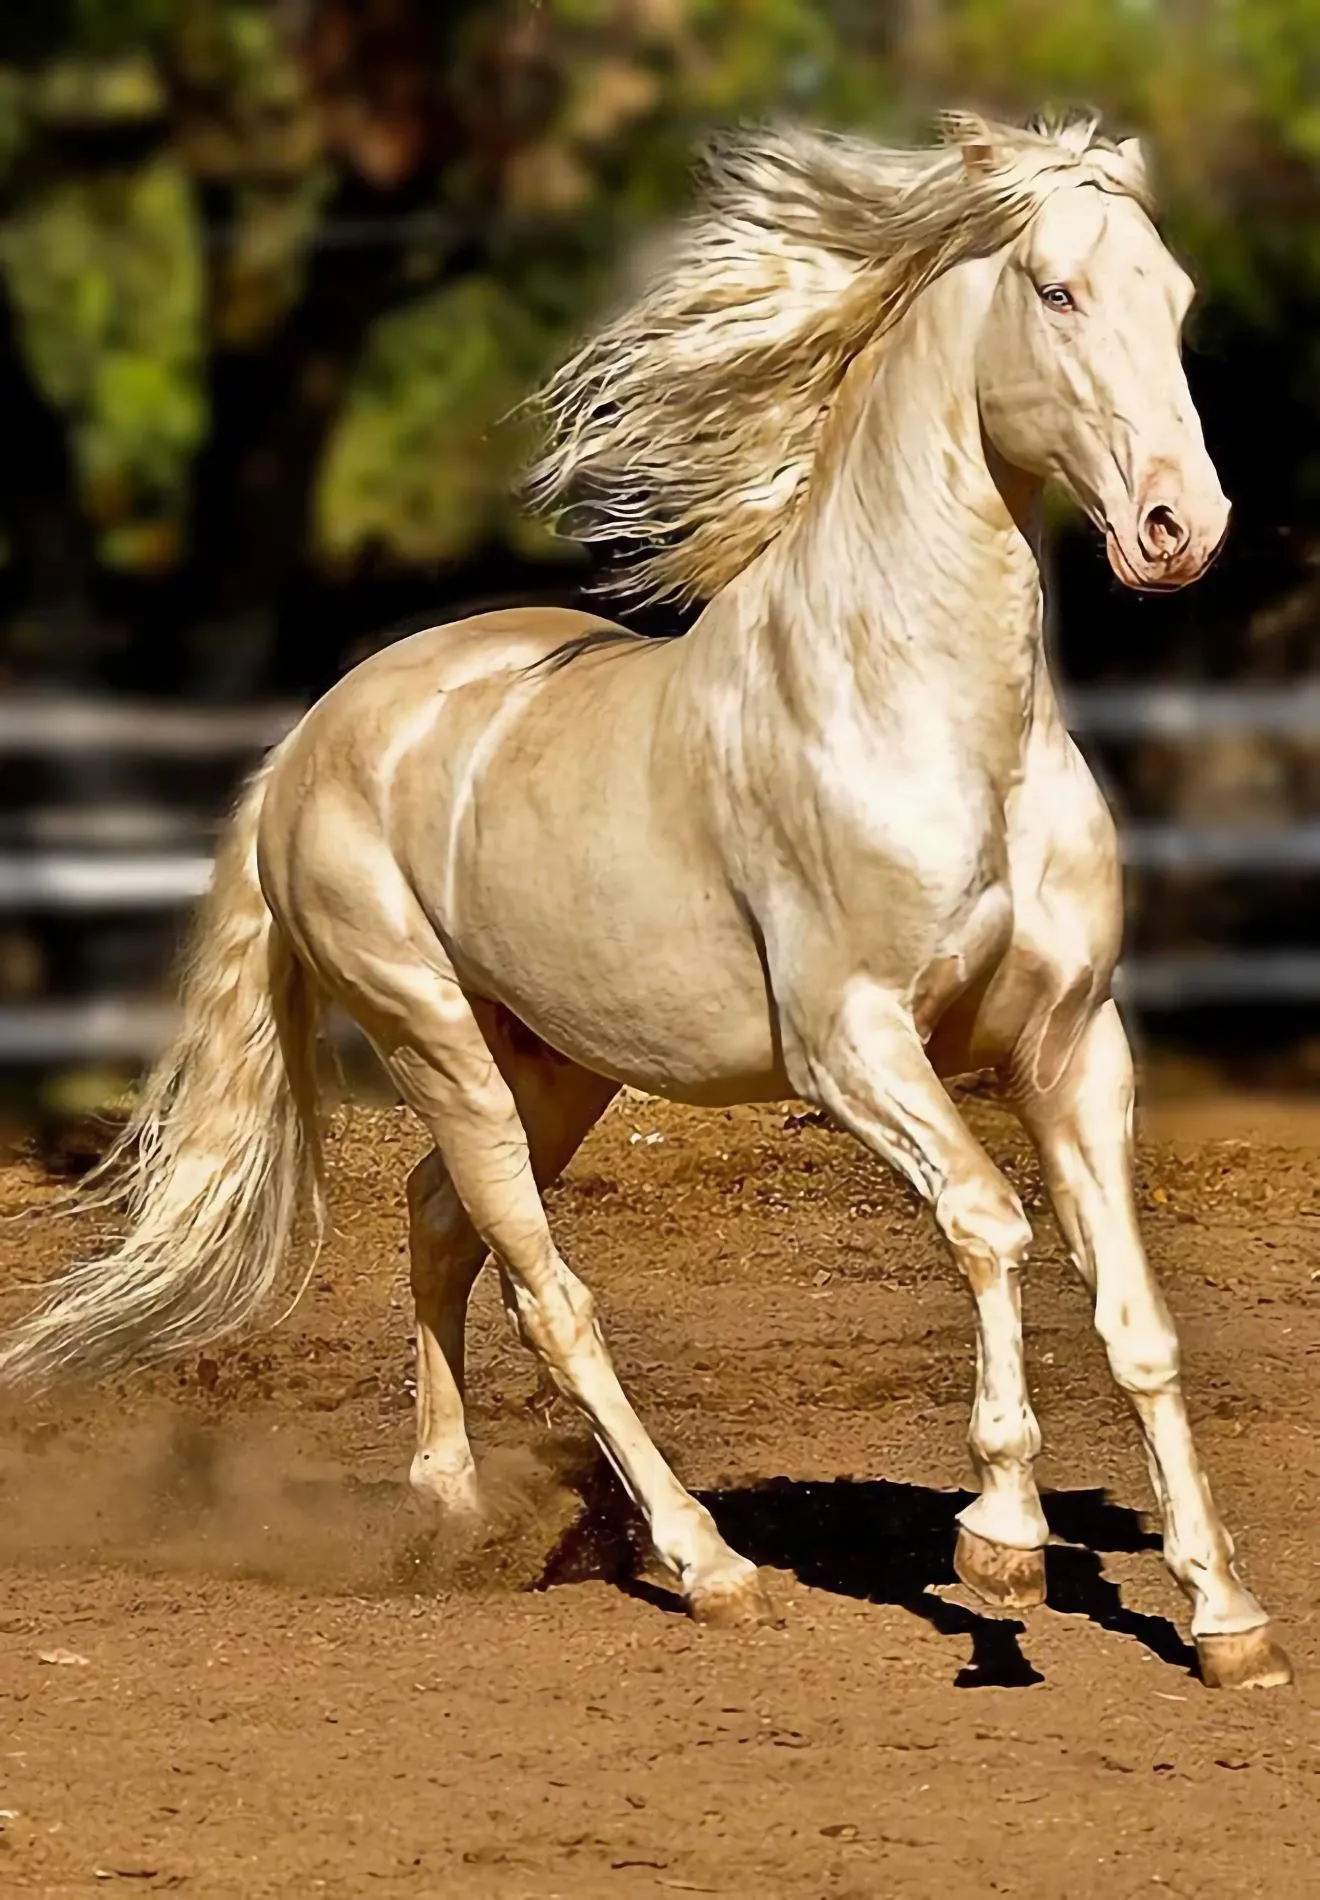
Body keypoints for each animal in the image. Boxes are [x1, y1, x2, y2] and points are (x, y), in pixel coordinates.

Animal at [0, 110, 1291, 1691]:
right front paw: (999, 1542)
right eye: (1055, 291)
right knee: (545, 1288)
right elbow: (990, 1227)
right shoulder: (852, 1043)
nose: (1182, 526)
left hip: (554, 1067)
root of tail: (308, 740)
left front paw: (1224, 1619)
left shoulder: (1070, 1045)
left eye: (1175, 297)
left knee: (438, 1224)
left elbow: (1136, 1321)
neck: (932, 721)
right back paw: (705, 1564)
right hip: (435, 1039)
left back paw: (452, 1514)